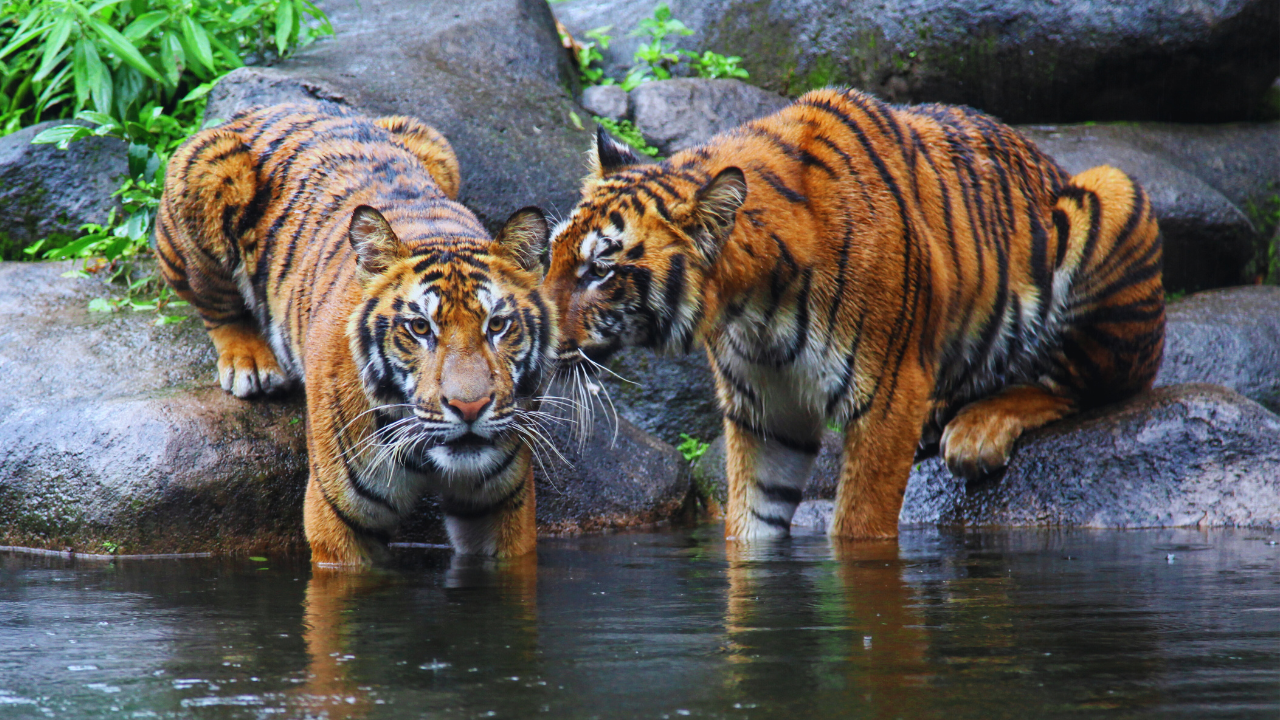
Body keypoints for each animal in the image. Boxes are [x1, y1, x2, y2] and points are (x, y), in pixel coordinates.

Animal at [155, 103, 556, 564]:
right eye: (420, 327)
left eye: (497, 325)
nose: (469, 408)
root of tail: (268, 107)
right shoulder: (340, 517)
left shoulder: (502, 506)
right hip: (204, 169)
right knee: (215, 305)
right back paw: (250, 364)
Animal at [544, 87, 1164, 542]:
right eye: (553, 255)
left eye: (599, 270)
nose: (535, 338)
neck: (753, 308)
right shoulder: (765, 413)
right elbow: (751, 524)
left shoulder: (887, 395)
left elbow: (859, 527)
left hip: (1111, 190)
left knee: (1088, 385)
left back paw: (977, 431)